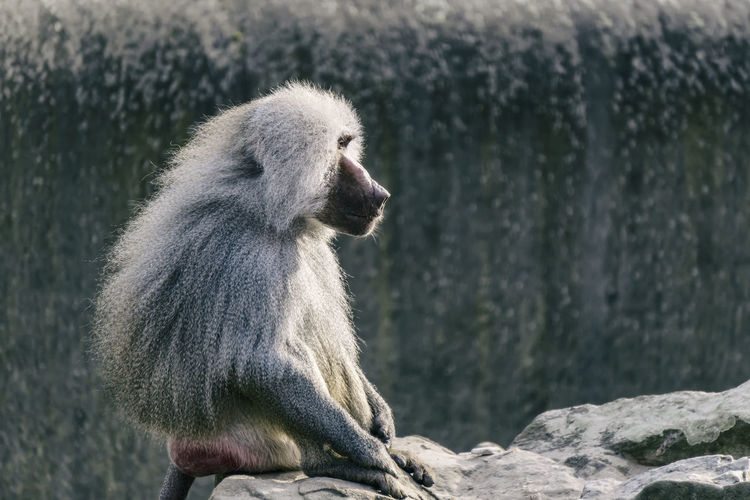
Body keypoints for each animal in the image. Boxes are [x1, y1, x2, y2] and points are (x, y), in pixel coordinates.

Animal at [93, 82, 434, 500]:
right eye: (337, 148)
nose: (381, 194)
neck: (267, 206)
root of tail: (185, 444)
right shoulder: (251, 257)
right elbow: (264, 365)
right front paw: (372, 453)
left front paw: (384, 423)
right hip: (251, 436)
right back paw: (336, 465)